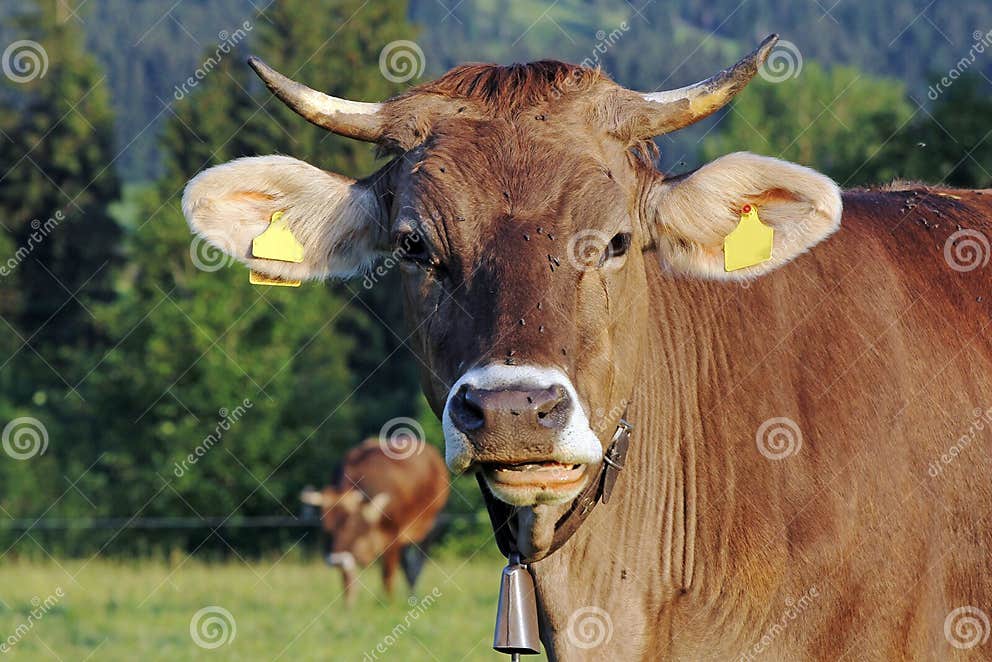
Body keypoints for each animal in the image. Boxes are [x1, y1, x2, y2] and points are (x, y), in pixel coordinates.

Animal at [299, 436, 449, 605]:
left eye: (351, 523)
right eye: (325, 522)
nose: (336, 560)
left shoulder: (393, 534)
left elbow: (388, 573)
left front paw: (389, 602)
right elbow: (347, 578)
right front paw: (348, 605)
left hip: (425, 526)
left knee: (415, 565)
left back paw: (412, 594)